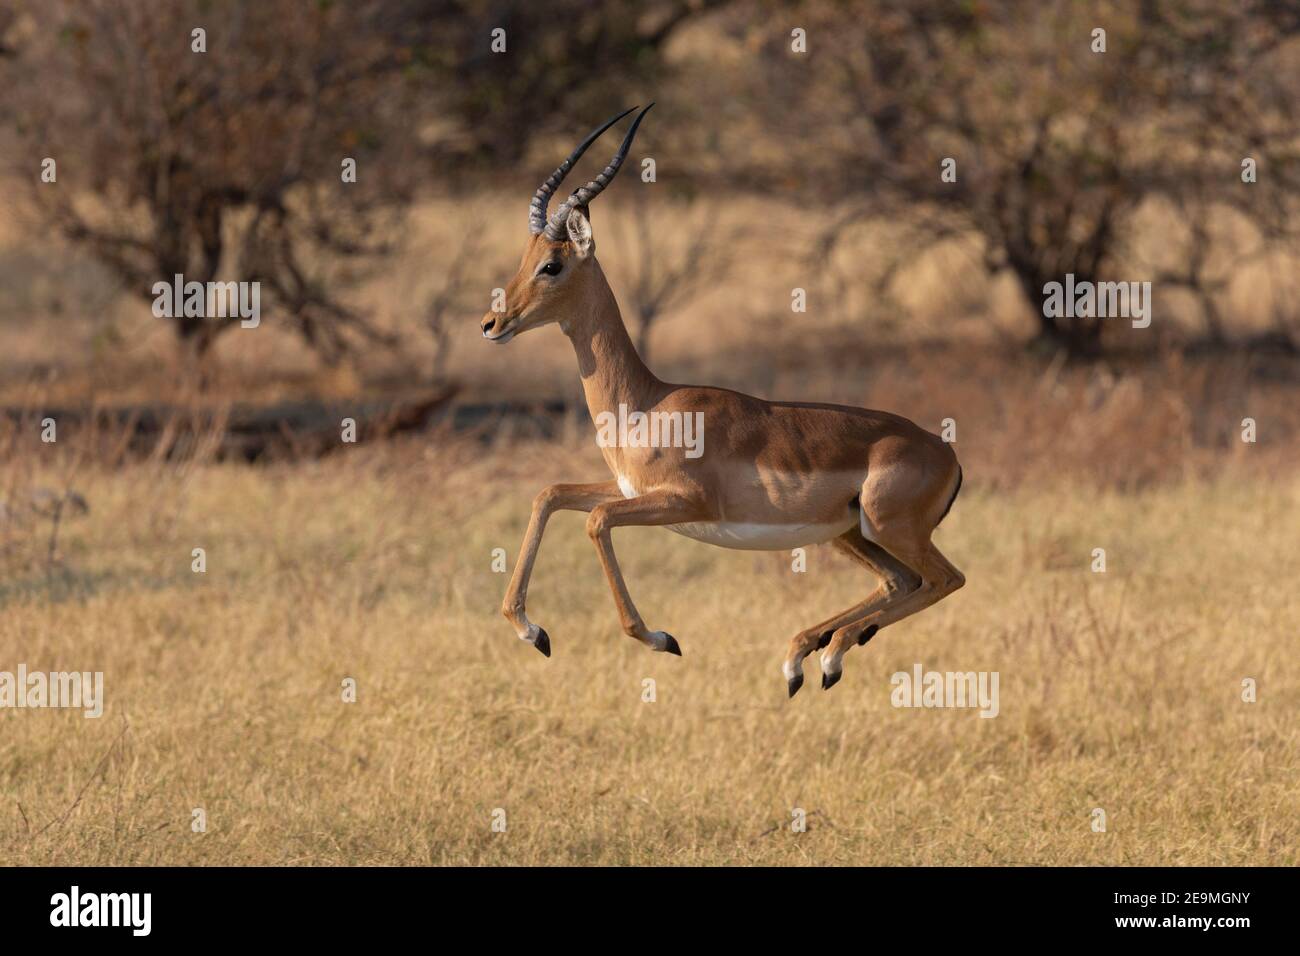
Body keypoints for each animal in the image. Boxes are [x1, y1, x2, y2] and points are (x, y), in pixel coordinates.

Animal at [481, 105, 965, 696]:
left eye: (552, 264)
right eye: (524, 258)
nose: (492, 324)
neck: (647, 407)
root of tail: (946, 452)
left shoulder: (683, 501)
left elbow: (595, 520)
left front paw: (660, 638)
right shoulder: (631, 489)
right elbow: (549, 494)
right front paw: (532, 631)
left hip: (887, 528)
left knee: (944, 578)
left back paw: (823, 655)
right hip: (850, 534)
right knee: (901, 582)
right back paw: (810, 657)